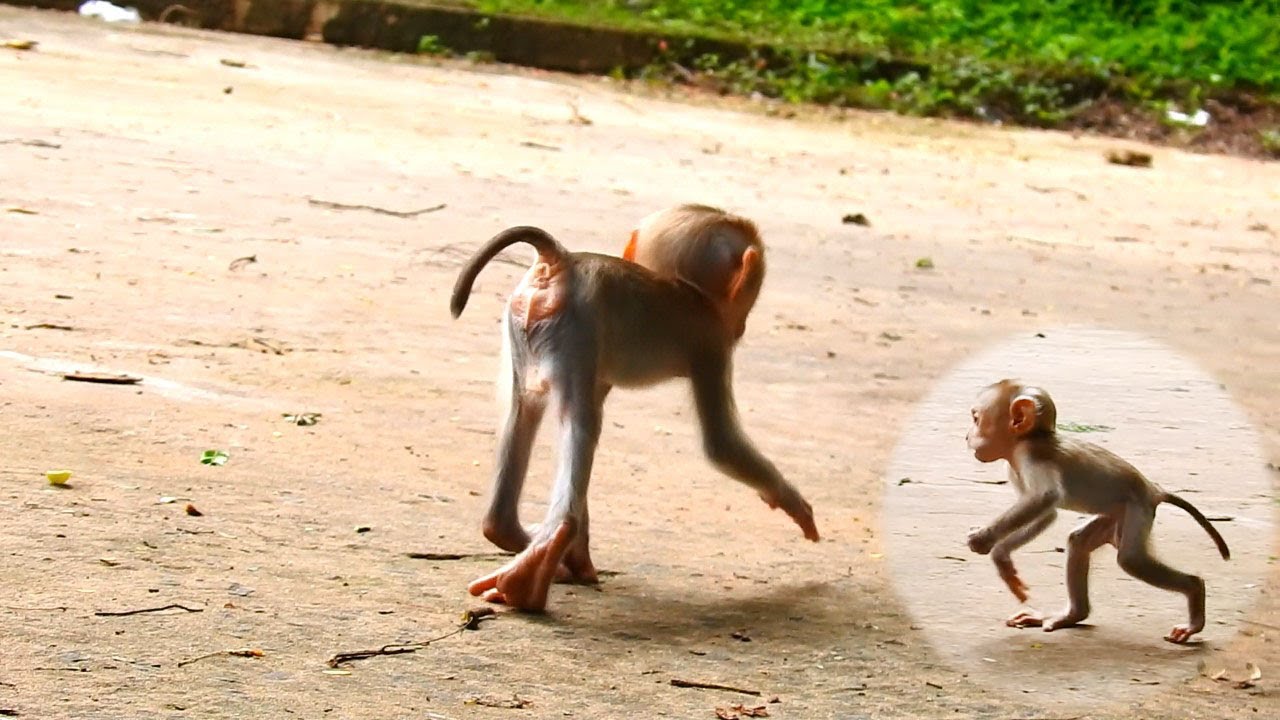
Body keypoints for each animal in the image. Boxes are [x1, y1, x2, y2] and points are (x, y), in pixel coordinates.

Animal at [450, 226, 819, 611]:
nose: (741, 326)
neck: (689, 291)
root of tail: (559, 260)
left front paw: (579, 558)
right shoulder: (712, 343)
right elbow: (720, 444)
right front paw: (792, 502)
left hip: (527, 326)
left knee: (526, 408)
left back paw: (510, 531)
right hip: (574, 329)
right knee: (580, 421)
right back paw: (547, 550)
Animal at [964, 379, 1230, 644]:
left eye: (976, 418)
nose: (967, 436)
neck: (1026, 441)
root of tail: (1153, 489)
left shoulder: (1031, 456)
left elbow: (1044, 498)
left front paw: (982, 539)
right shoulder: (1014, 469)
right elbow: (1046, 515)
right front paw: (1001, 558)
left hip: (1138, 509)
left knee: (1131, 560)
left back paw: (1194, 597)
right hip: (1117, 514)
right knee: (1079, 541)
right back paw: (1072, 615)